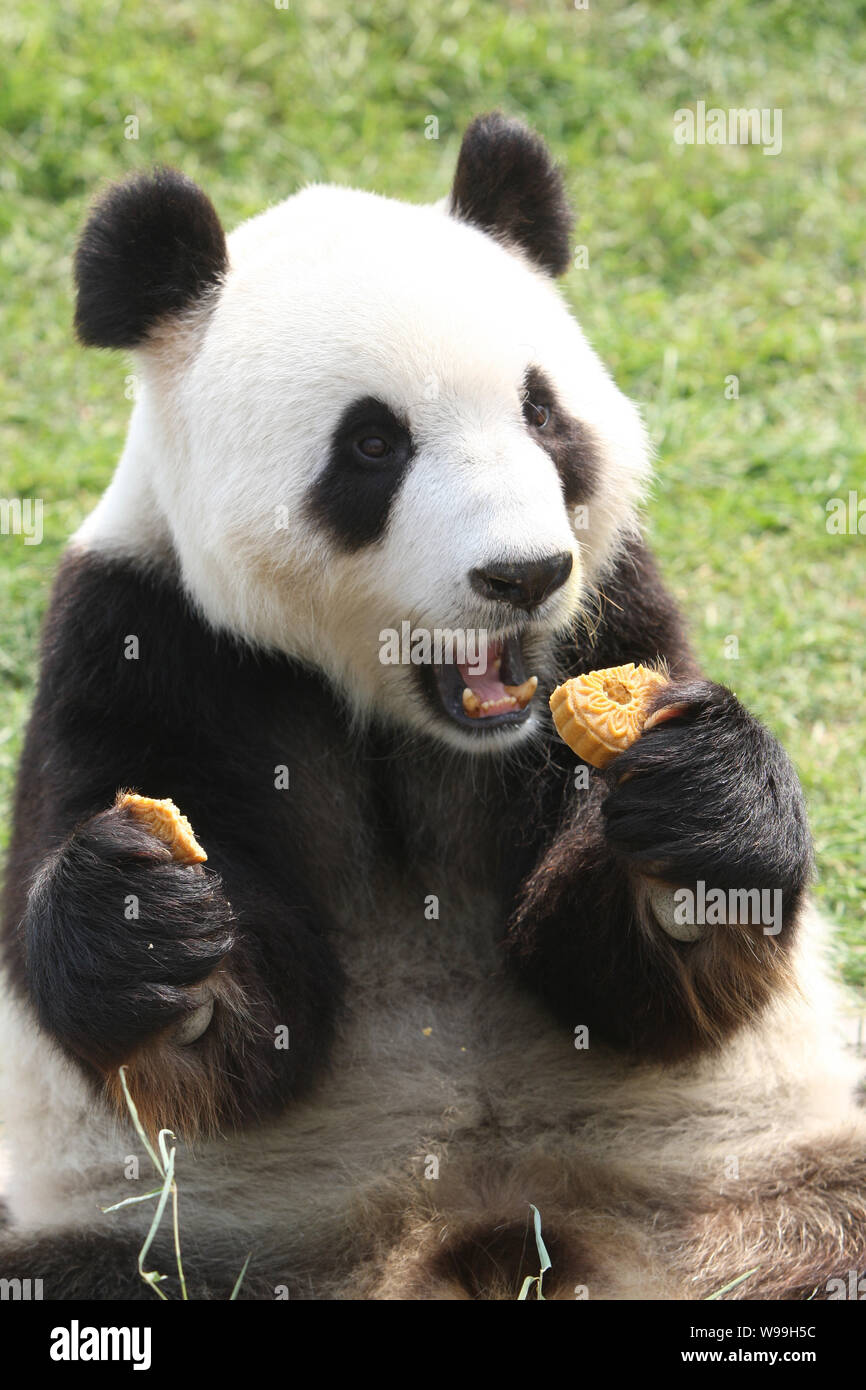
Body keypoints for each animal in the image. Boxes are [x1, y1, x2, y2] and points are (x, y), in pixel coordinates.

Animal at [1, 112, 864, 1301]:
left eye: (541, 412)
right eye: (373, 444)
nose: (524, 573)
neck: (405, 720)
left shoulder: (614, 612)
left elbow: (628, 983)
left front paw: (699, 806)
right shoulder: (144, 642)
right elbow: (212, 1054)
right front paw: (150, 919)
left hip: (741, 1187)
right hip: (212, 1248)